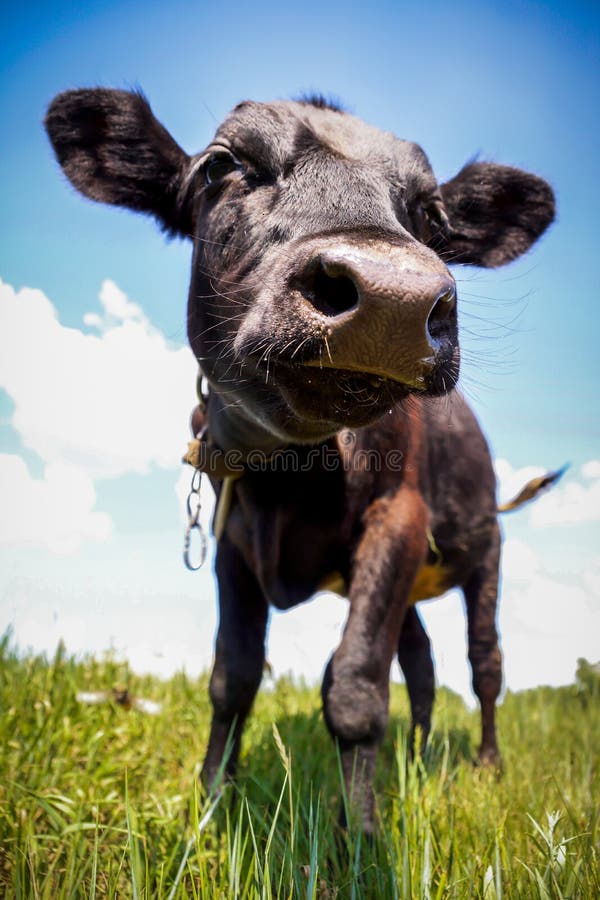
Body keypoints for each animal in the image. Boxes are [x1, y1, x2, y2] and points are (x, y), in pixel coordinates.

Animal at [45, 89, 555, 833]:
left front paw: (360, 835)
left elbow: (355, 682)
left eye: (432, 215)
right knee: (423, 663)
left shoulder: (399, 516)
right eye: (223, 165)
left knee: (482, 662)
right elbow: (233, 675)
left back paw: (484, 763)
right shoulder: (232, 539)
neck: (291, 473)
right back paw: (416, 754)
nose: (393, 299)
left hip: (484, 550)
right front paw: (211, 799)